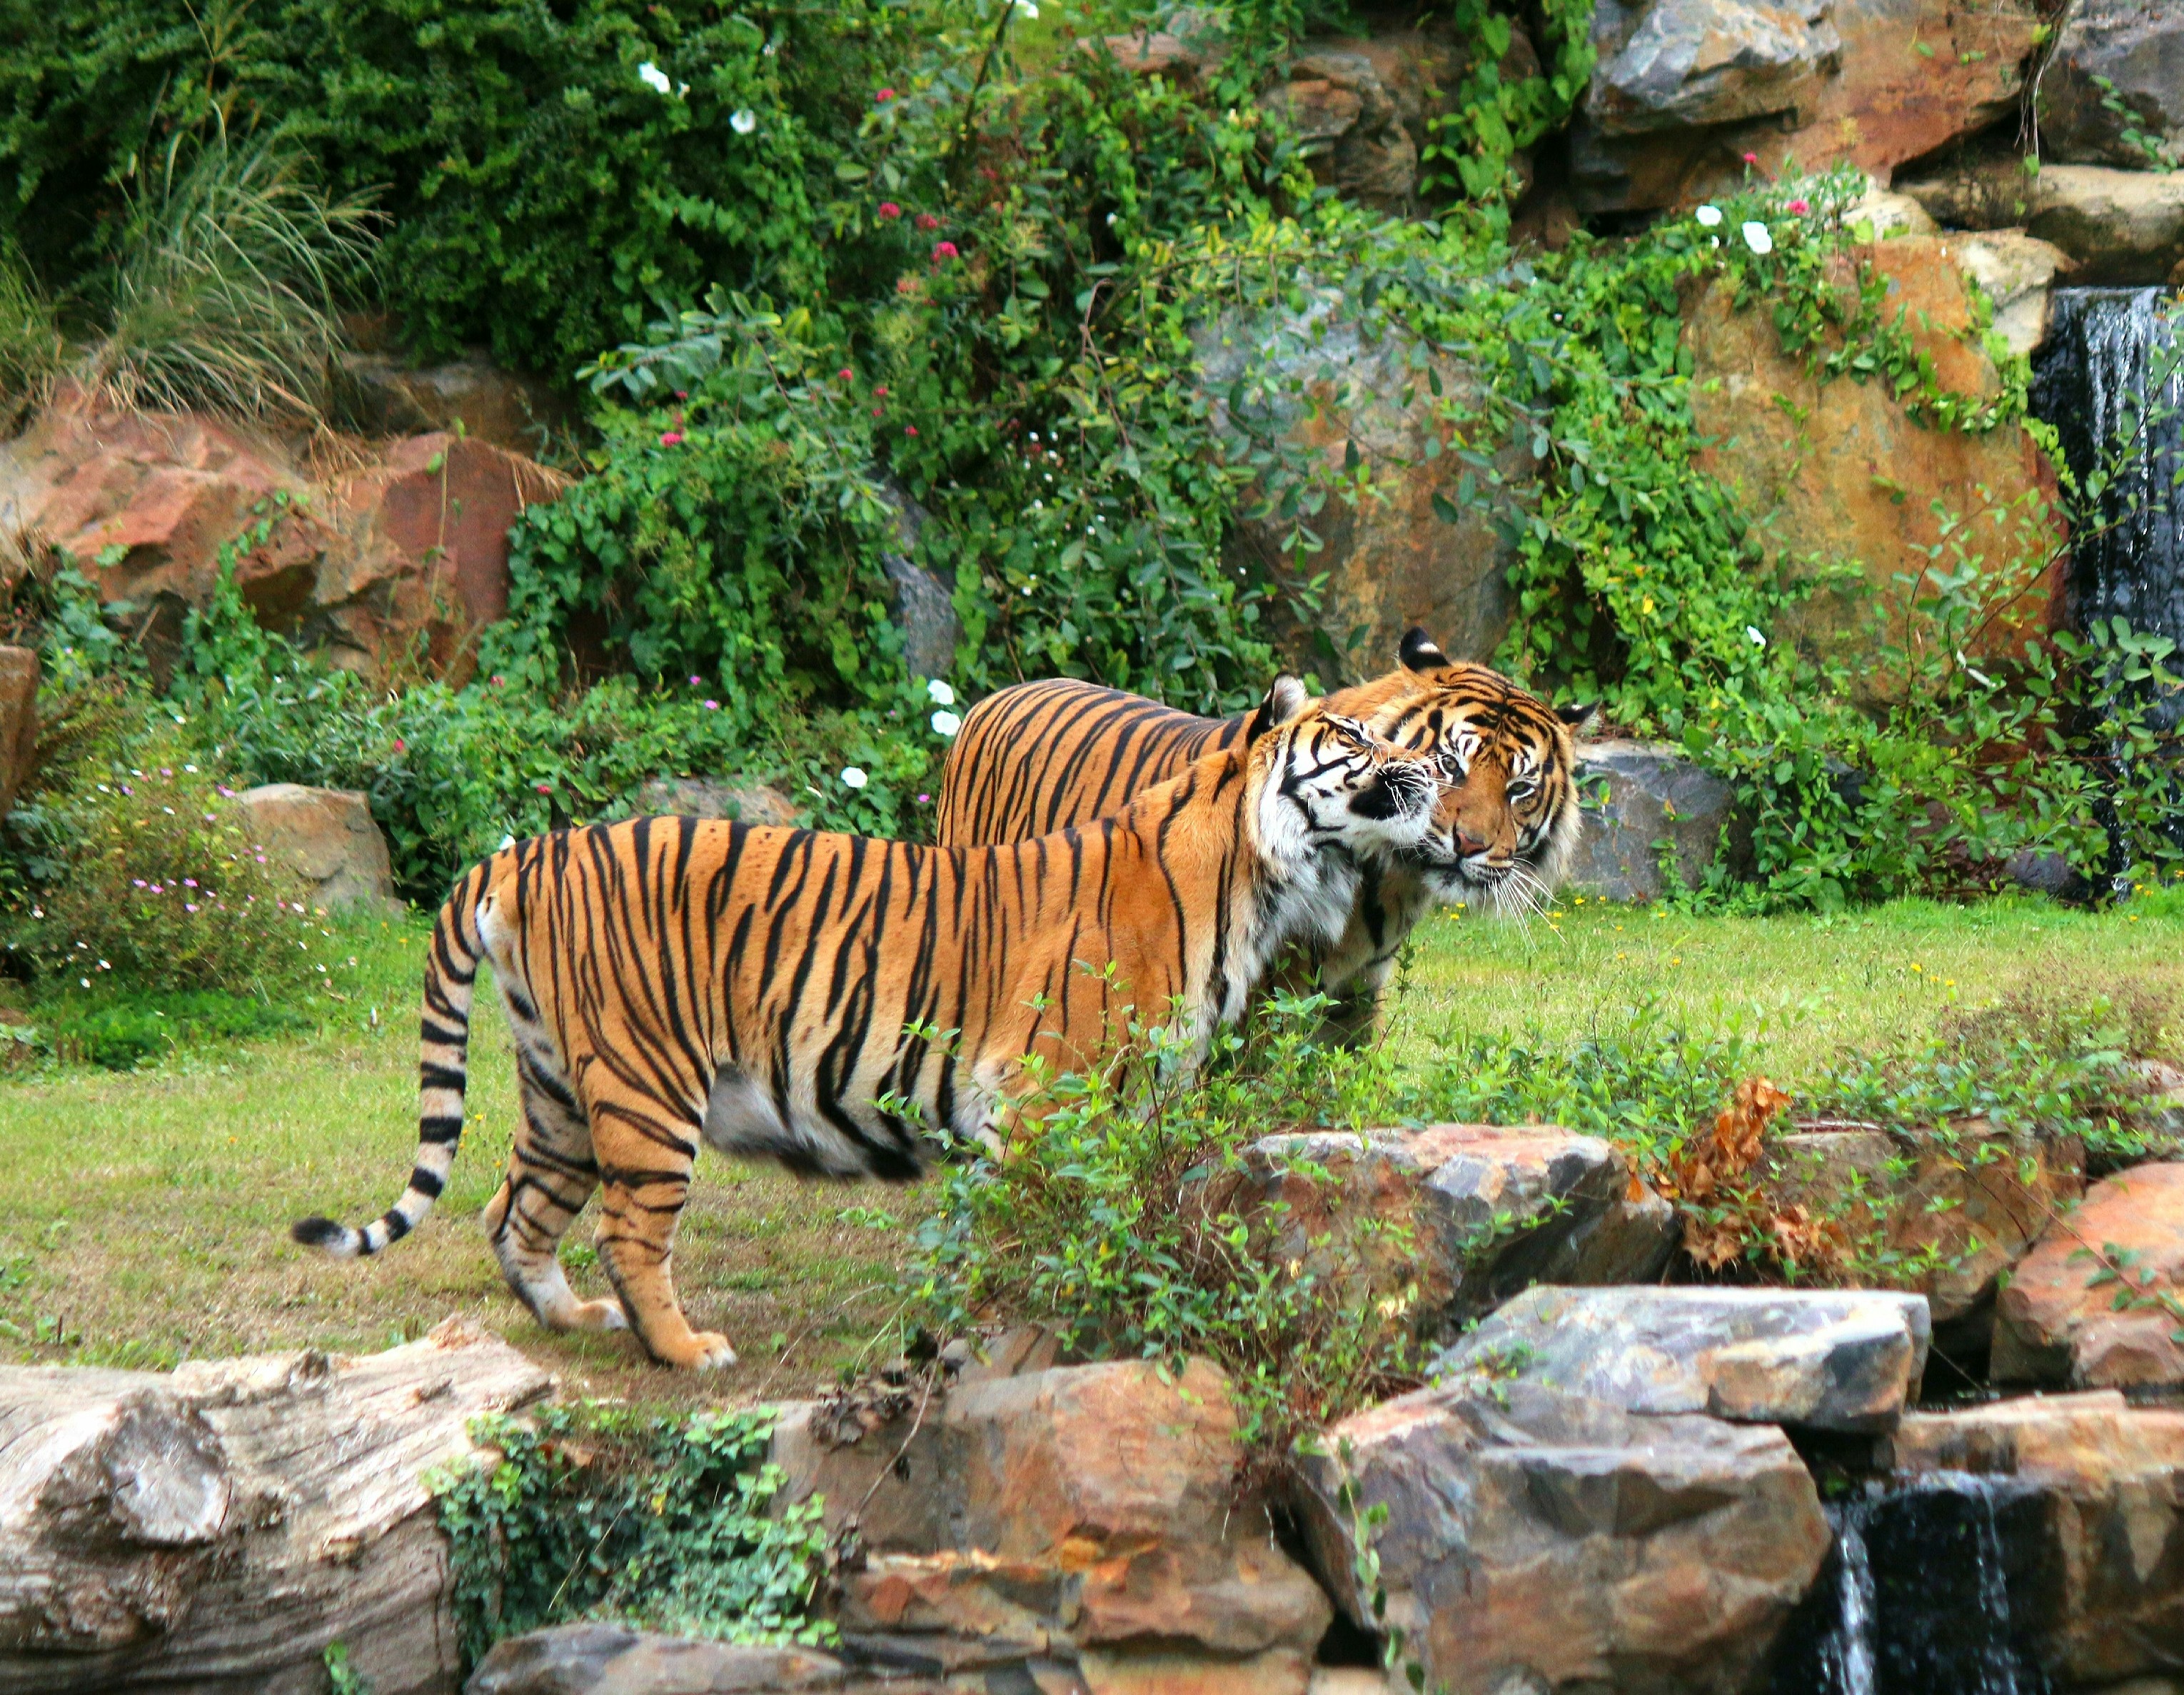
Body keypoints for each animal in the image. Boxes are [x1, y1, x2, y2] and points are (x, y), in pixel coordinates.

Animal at [291, 685, 1447, 1371]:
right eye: (1354, 736)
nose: (1432, 770)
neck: (1254, 878)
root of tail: (523, 852)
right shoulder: (1044, 1097)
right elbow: (1041, 1227)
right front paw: (1035, 1324)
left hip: (558, 1085)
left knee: (513, 1210)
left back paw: (574, 1320)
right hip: (645, 1082)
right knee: (626, 1230)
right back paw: (686, 1348)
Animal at [935, 628, 1591, 1040]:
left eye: (1520, 788)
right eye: (1450, 764)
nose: (1470, 846)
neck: (1393, 885)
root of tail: (990, 699)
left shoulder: (1354, 999)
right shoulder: (1263, 992)